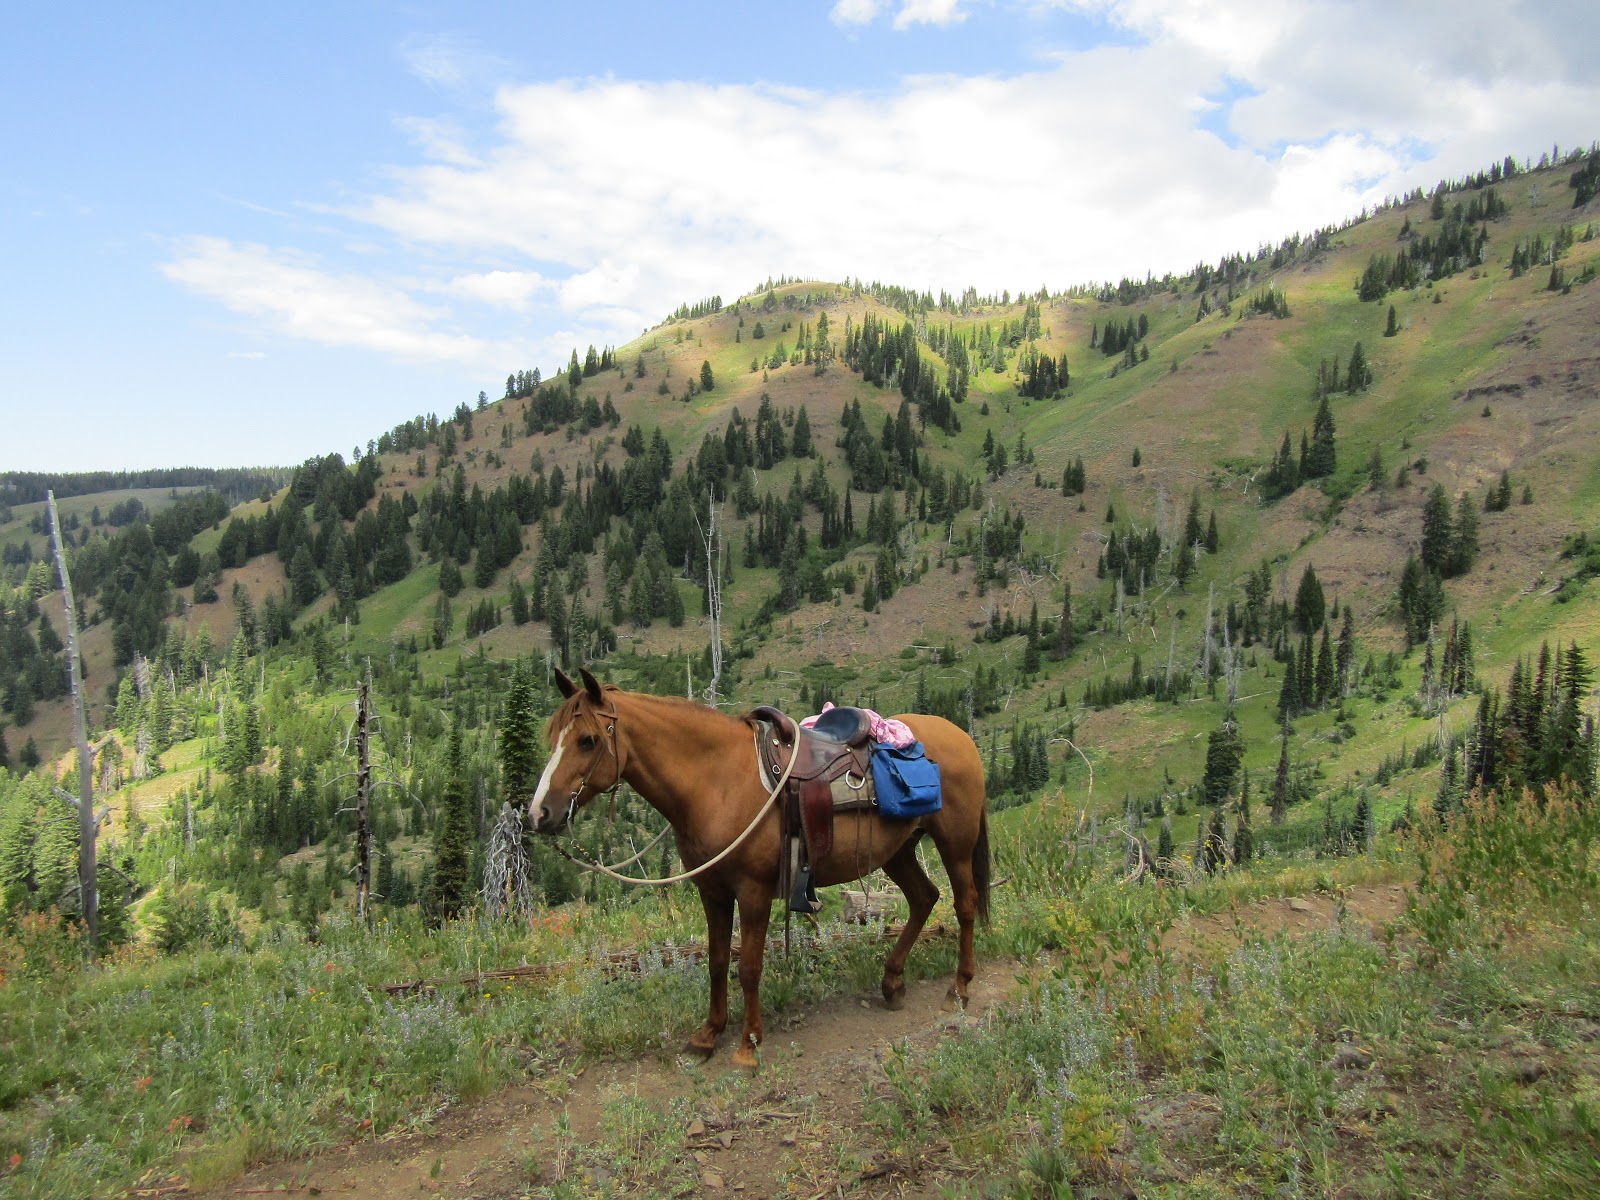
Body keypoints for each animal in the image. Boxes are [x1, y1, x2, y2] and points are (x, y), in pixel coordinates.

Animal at [530, 668, 991, 1070]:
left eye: (588, 740)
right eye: (553, 738)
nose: (539, 814)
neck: (716, 782)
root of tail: (960, 735)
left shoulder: (753, 891)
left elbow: (749, 968)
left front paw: (749, 1043)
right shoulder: (712, 890)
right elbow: (717, 962)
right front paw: (707, 1036)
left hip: (955, 844)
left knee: (964, 904)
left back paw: (959, 988)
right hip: (898, 851)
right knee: (924, 898)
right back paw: (892, 983)